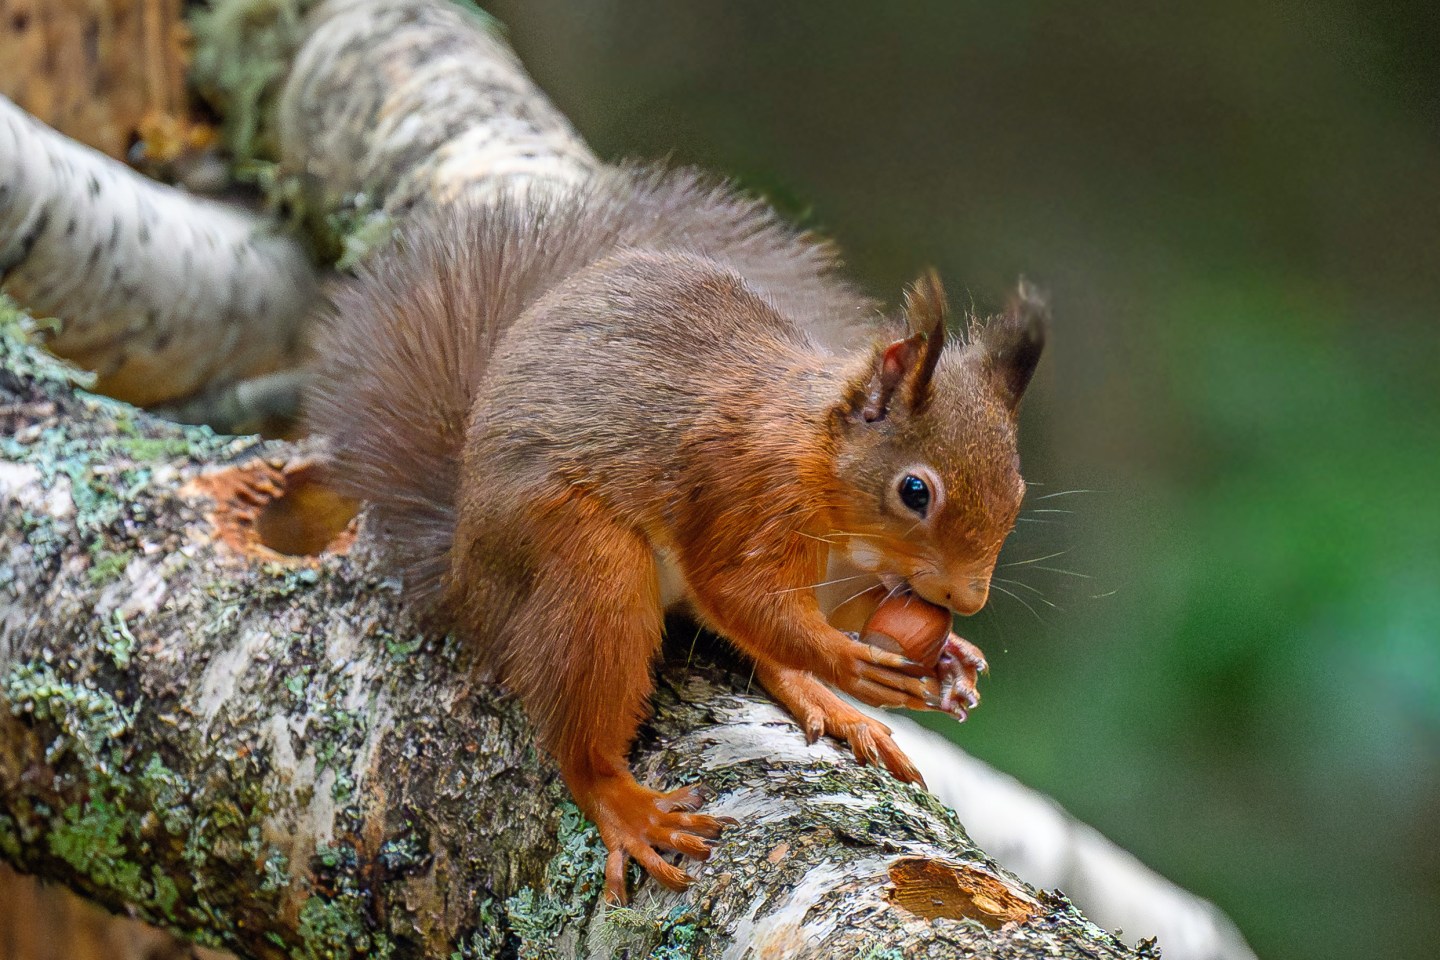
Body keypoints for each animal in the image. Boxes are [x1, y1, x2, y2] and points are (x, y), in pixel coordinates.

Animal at [306, 166, 1046, 904]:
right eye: (915, 492)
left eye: (1018, 490)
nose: (967, 599)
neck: (823, 476)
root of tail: (463, 578)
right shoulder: (738, 492)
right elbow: (738, 592)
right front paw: (851, 664)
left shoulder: (844, 579)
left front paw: (951, 658)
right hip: (584, 562)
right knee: (585, 731)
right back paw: (627, 808)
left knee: (759, 654)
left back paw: (823, 702)